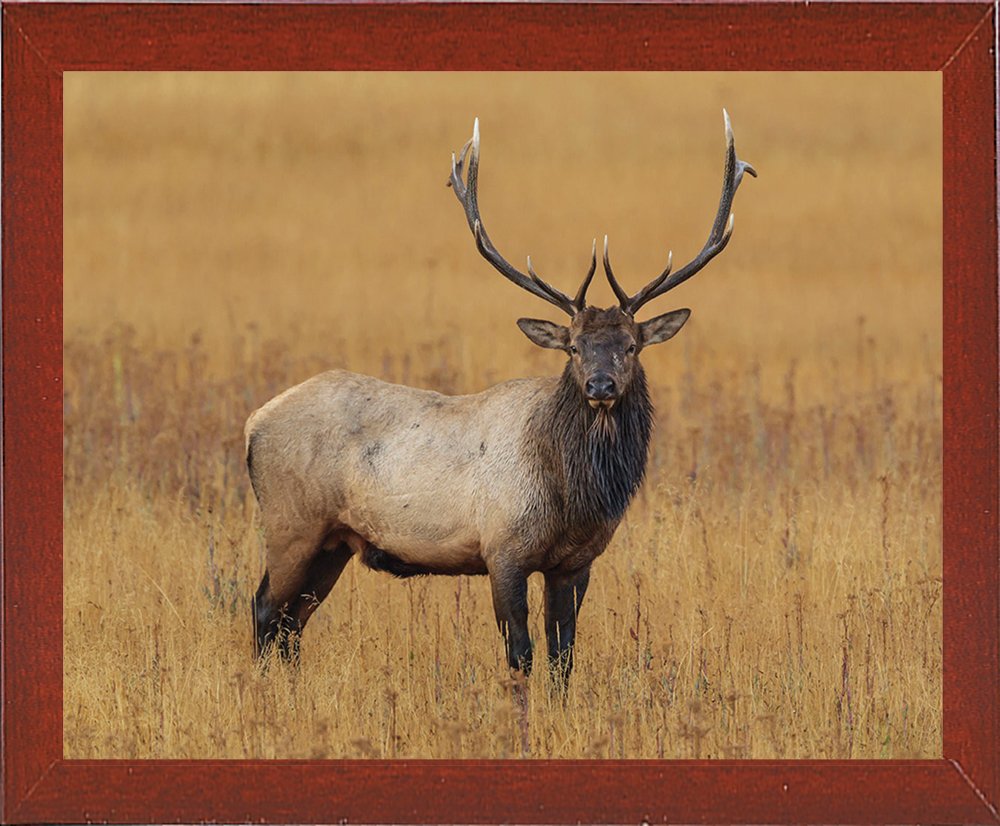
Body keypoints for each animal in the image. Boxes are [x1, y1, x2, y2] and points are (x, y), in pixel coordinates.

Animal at [246, 112, 755, 693]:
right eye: (574, 347)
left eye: (630, 345)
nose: (600, 386)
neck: (572, 497)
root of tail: (253, 423)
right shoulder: (503, 548)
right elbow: (522, 655)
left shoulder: (574, 562)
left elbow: (563, 656)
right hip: (291, 523)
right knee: (265, 609)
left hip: (332, 541)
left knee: (292, 624)